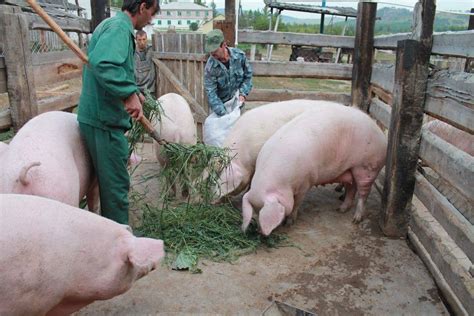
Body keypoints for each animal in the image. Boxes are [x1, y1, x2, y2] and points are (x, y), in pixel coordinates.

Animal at [243, 105, 386, 236]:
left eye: (262, 209)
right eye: (255, 211)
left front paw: (289, 223)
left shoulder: (305, 182)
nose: (259, 232)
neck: (284, 182)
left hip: (367, 167)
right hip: (351, 169)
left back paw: (355, 219)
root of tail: (381, 135)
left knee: (363, 193)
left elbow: (296, 203)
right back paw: (340, 209)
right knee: (352, 188)